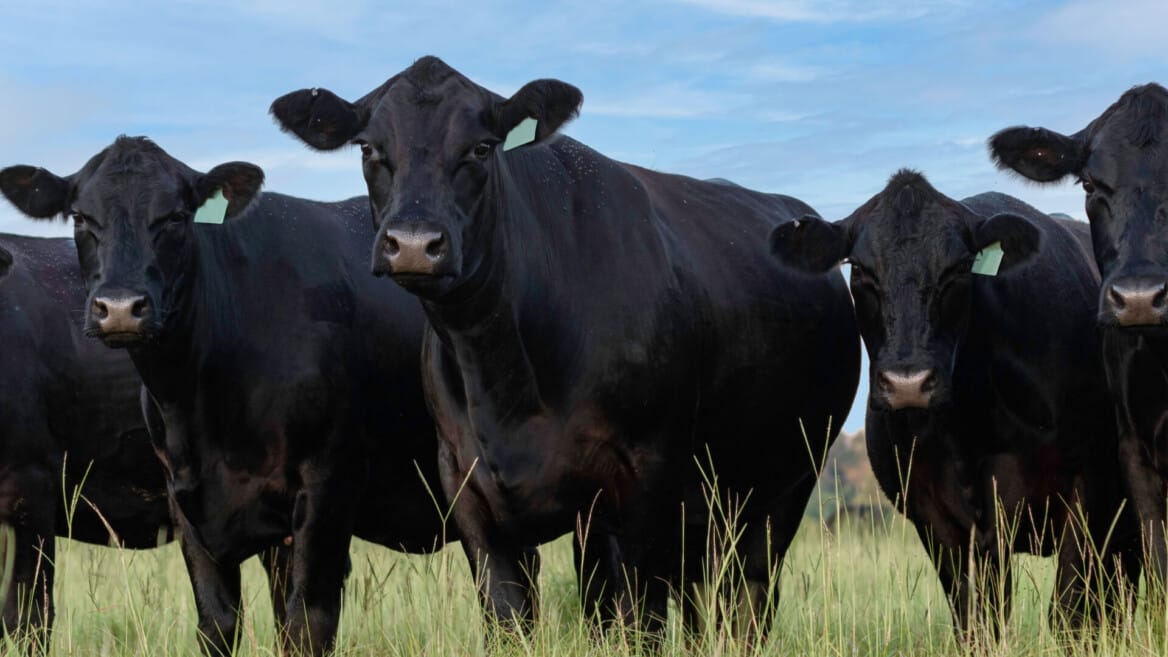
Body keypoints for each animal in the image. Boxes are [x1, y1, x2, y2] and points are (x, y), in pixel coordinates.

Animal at [268, 55, 860, 640]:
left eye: (481, 147)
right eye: (368, 148)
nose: (414, 244)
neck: (505, 377)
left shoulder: (647, 484)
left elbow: (640, 622)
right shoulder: (470, 494)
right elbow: (513, 619)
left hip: (784, 487)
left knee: (746, 603)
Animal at [770, 169, 1138, 641]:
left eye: (959, 269)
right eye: (862, 271)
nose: (908, 383)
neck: (971, 430)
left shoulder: (1090, 490)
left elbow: (1071, 613)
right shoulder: (939, 518)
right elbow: (977, 619)